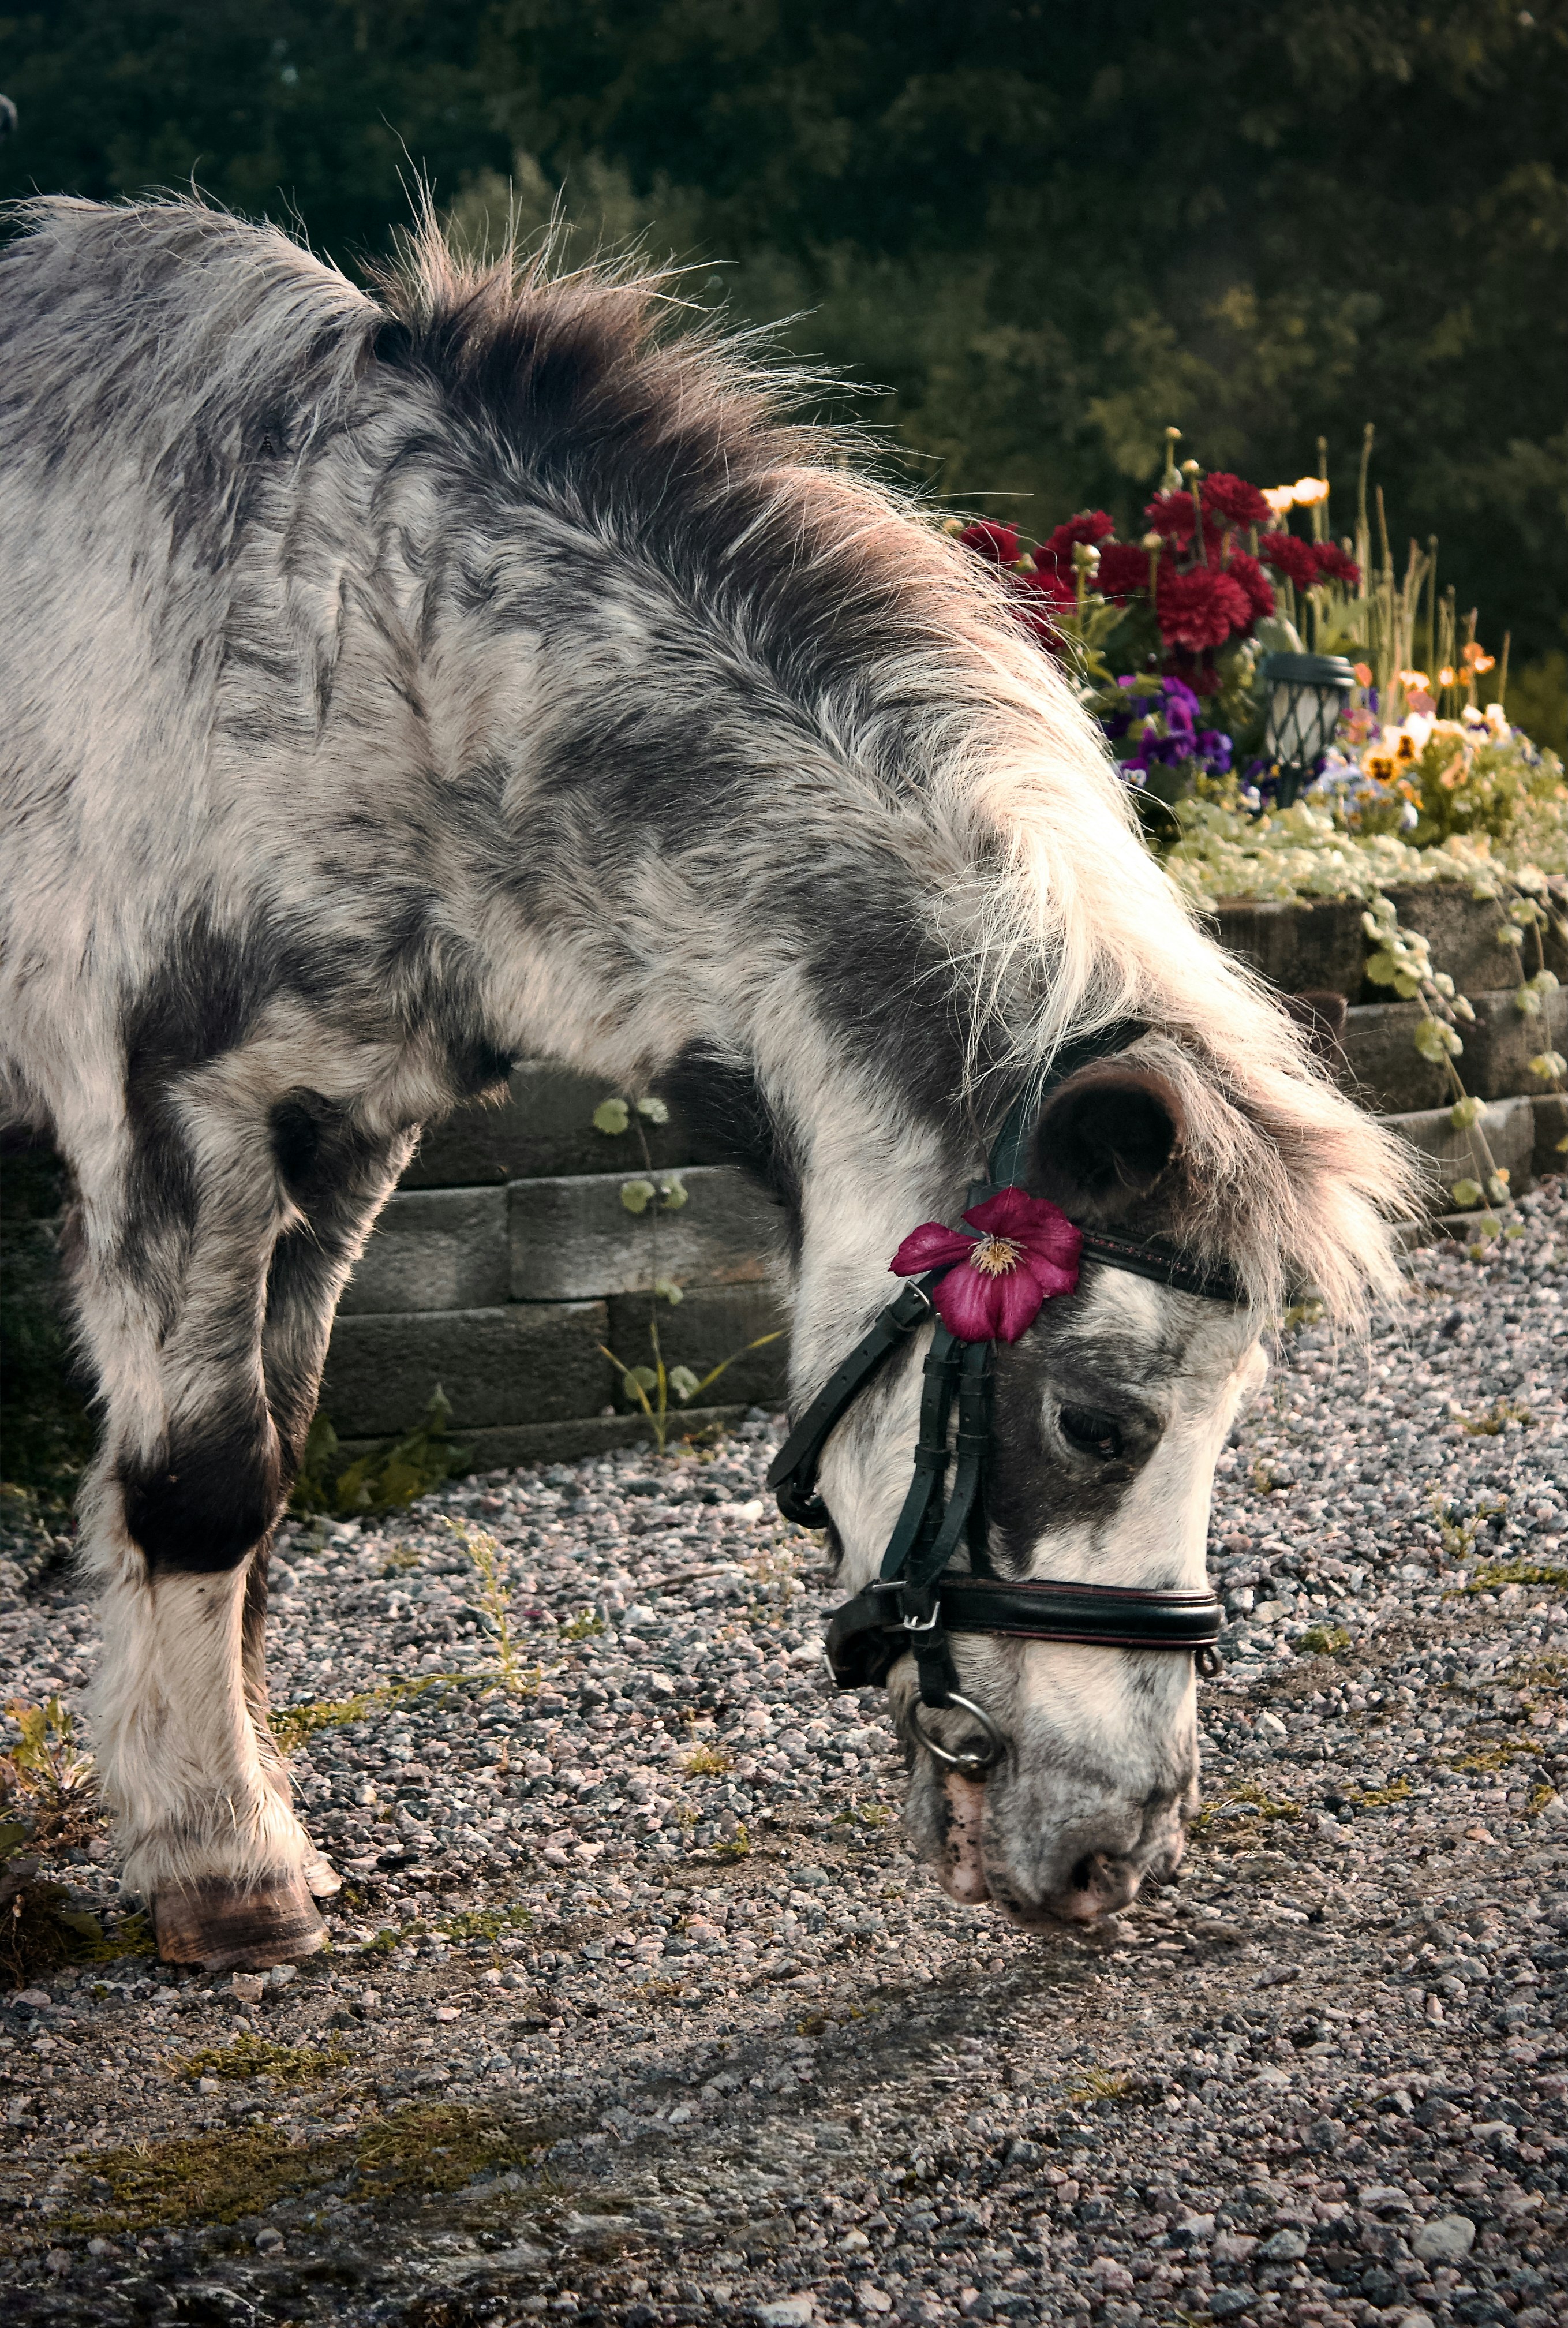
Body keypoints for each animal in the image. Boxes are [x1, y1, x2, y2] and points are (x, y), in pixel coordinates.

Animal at [0, 196, 1417, 1972]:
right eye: (1098, 1422)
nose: (1116, 1852)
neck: (350, 657)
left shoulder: (342, 1133)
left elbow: (269, 1469)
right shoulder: (171, 1119)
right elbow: (203, 1485)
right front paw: (225, 1872)